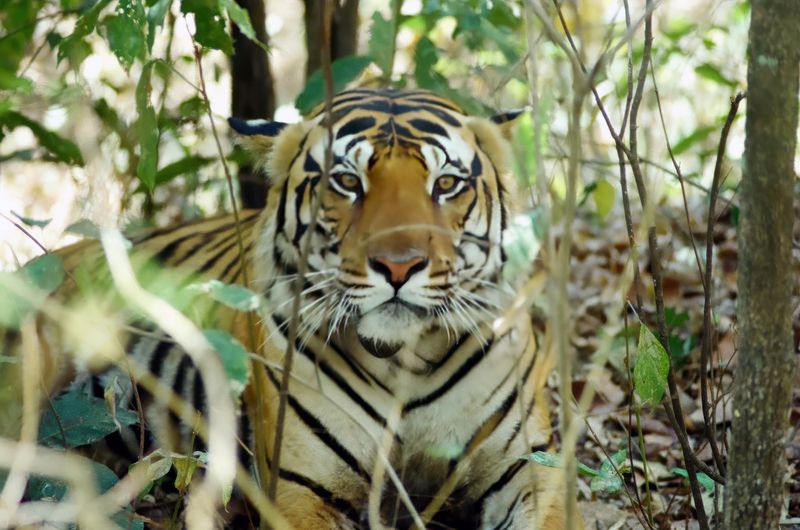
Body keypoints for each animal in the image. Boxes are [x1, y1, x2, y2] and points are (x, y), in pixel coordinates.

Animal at [2, 88, 572, 529]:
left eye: (447, 184)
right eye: (347, 182)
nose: (399, 266)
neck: (403, 361)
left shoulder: (529, 468)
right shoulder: (305, 489)